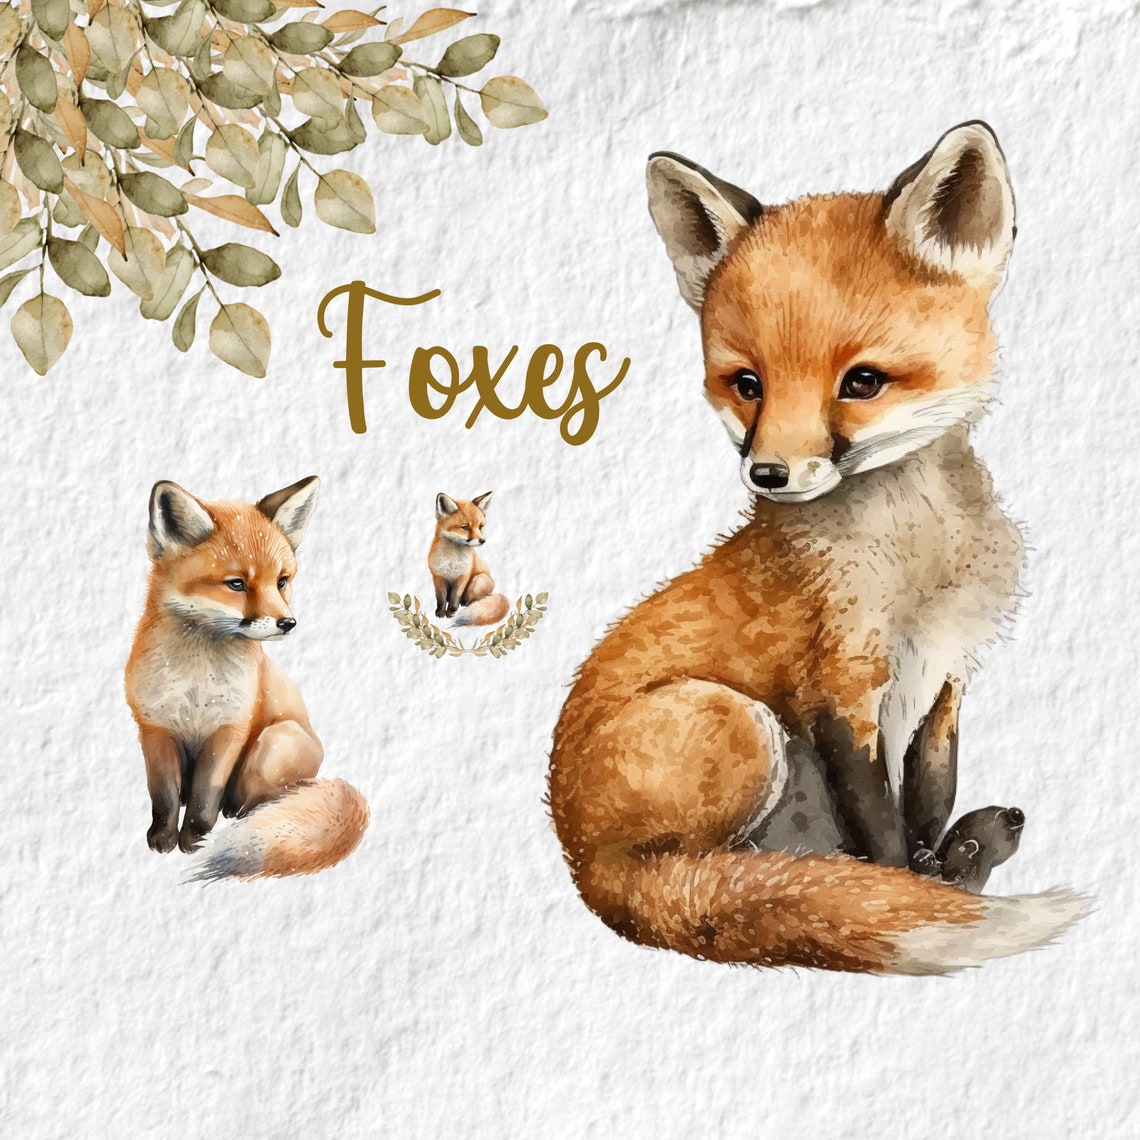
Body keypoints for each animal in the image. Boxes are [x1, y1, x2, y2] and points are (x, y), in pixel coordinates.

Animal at [124, 476, 368, 881]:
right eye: (236, 584)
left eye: (282, 581)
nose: (288, 623)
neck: (196, 682)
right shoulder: (155, 729)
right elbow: (164, 796)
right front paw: (162, 838)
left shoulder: (229, 729)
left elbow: (205, 798)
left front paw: (195, 841)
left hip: (274, 742)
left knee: (255, 804)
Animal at [429, 492, 510, 627]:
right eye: (465, 527)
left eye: (480, 526)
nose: (483, 540)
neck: (452, 561)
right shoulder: (438, 576)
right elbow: (440, 598)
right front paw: (440, 612)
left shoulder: (463, 576)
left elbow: (454, 599)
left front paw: (451, 613)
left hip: (478, 580)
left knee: (474, 600)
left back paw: (468, 605)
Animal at [548, 122, 1084, 974]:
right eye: (747, 384)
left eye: (862, 382)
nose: (768, 474)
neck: (915, 564)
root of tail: (584, 869)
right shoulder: (838, 685)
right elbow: (881, 829)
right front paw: (905, 891)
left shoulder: (945, 675)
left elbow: (928, 795)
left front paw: (934, 868)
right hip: (739, 722)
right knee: (703, 876)